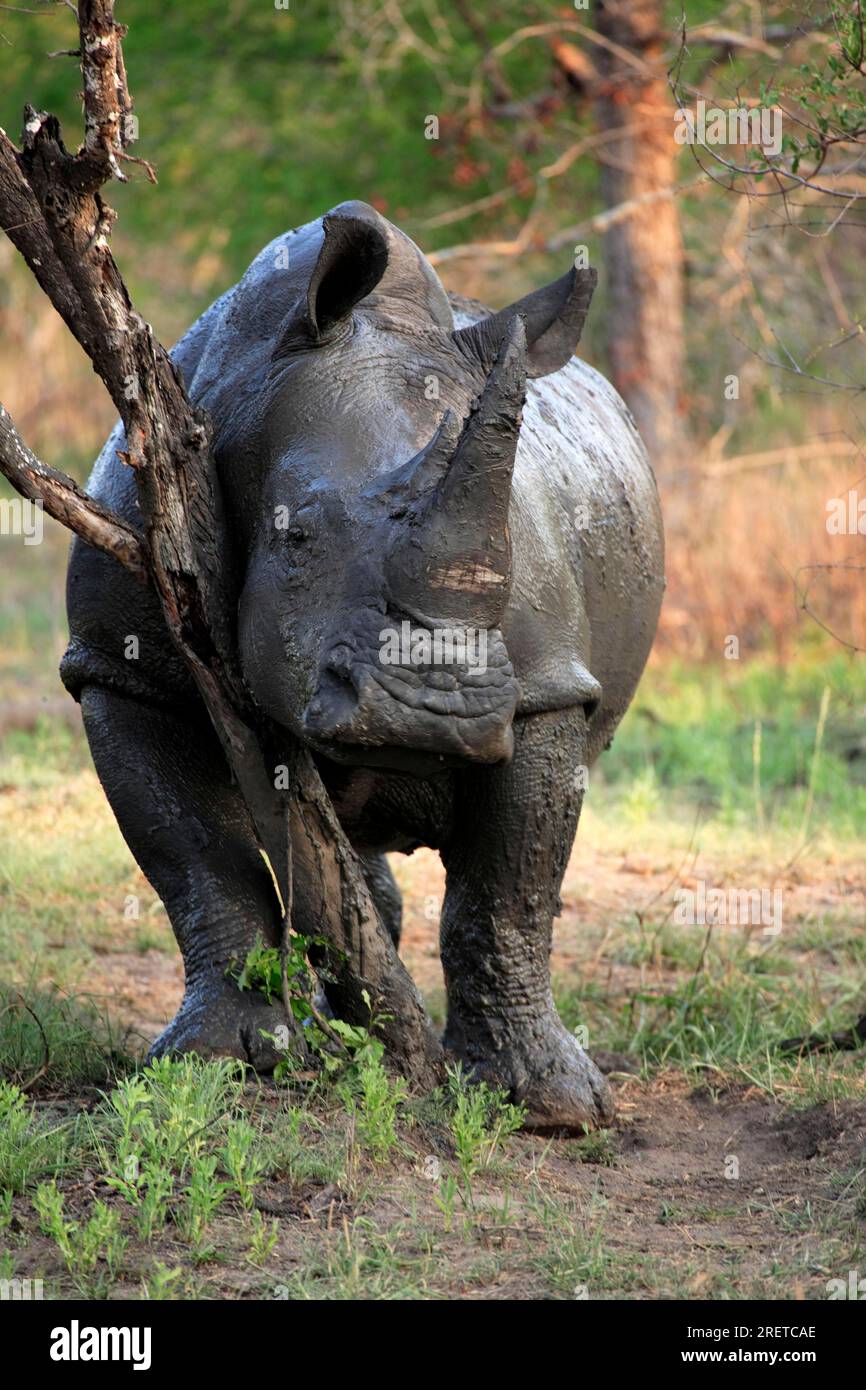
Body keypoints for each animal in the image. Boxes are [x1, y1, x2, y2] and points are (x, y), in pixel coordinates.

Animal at [62, 201, 664, 1130]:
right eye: (297, 537)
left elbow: (511, 890)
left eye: (506, 550)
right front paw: (214, 1065)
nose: (434, 711)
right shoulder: (120, 666)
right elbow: (197, 861)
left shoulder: (545, 688)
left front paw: (551, 1106)